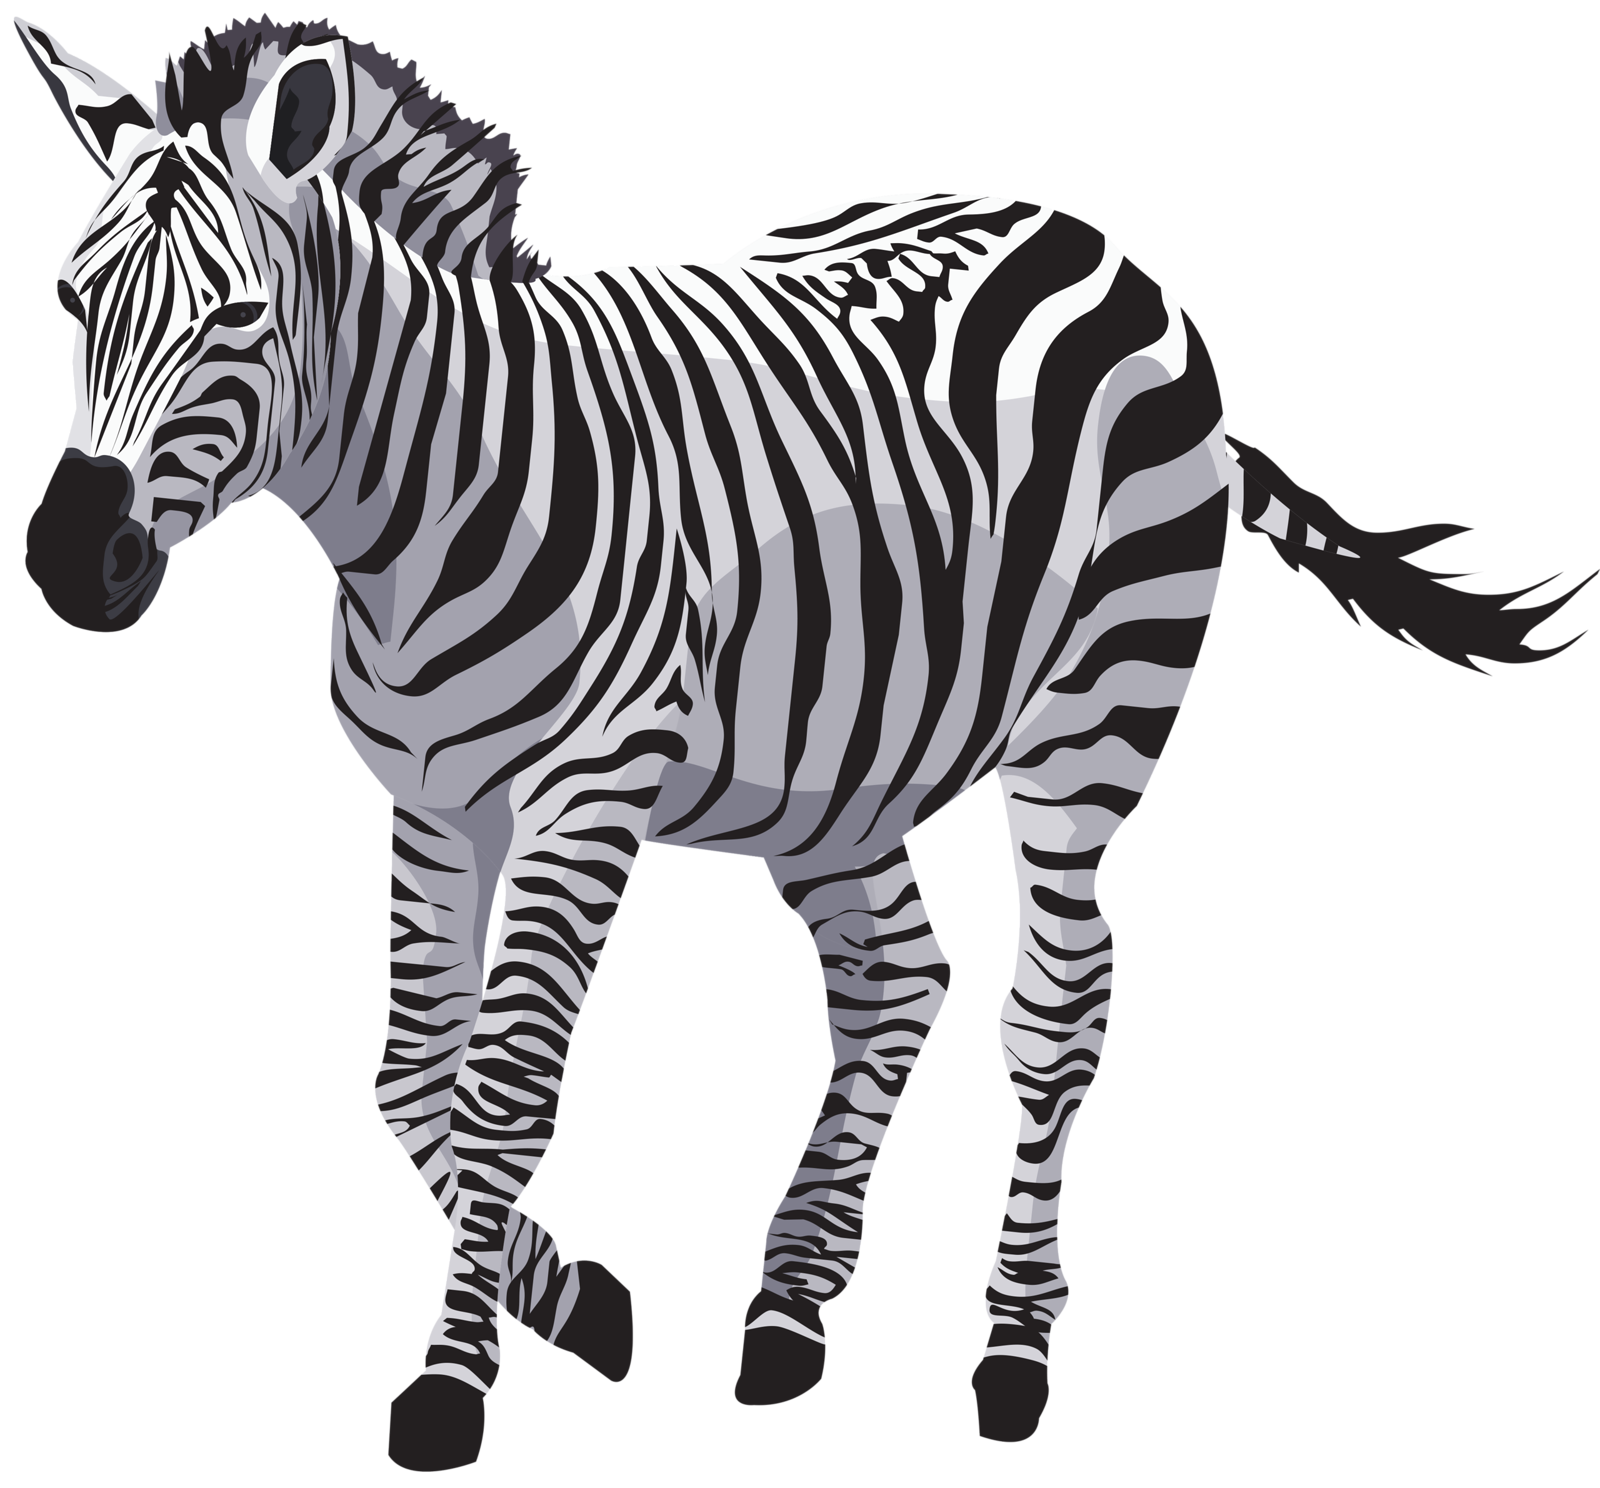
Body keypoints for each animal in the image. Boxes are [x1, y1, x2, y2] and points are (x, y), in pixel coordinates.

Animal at [17, 13, 1594, 1471]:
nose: (69, 564)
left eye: (234, 319)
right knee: (898, 980)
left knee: (1056, 1007)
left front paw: (455, 1391)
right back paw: (786, 1315)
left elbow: (501, 1093)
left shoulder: (581, 801)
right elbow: (412, 1081)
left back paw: (1012, 1348)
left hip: (1094, 712)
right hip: (837, 766)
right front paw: (587, 1310)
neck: (425, 509)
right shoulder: (427, 803)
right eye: (71, 300)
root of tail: (1086, 234)